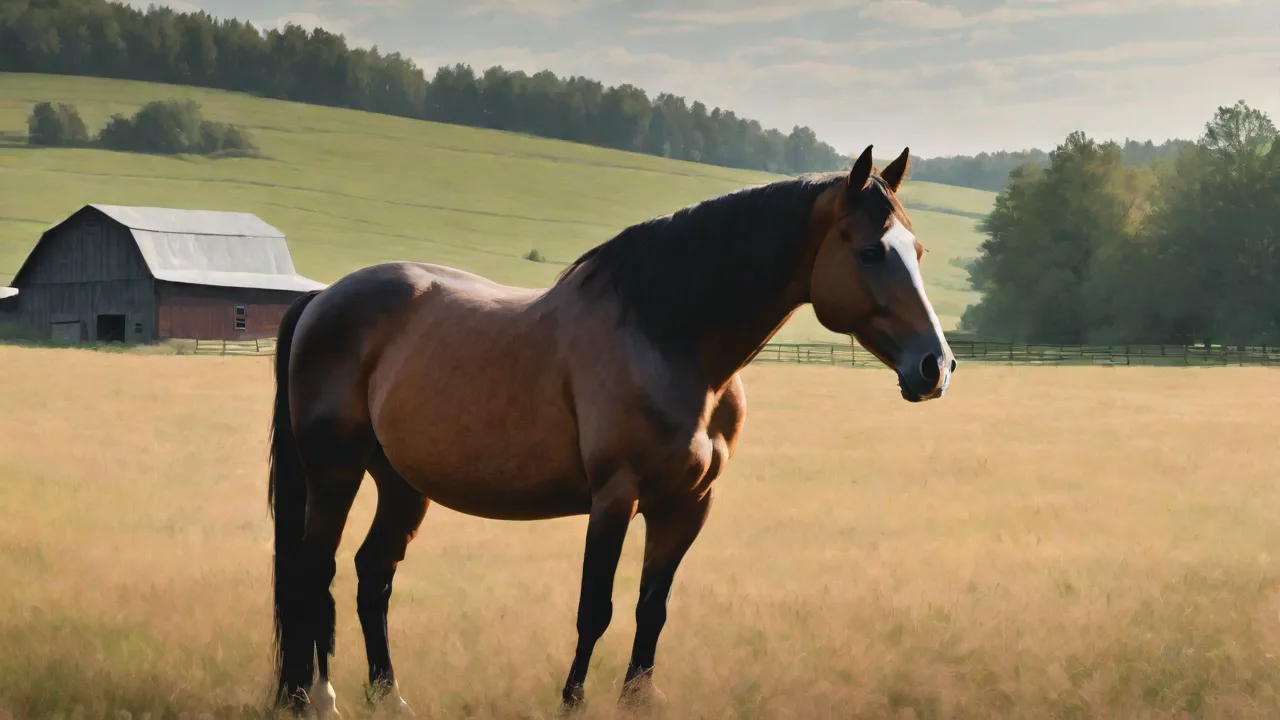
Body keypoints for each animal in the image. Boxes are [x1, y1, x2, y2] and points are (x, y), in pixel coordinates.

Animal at [265, 144, 956, 718]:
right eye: (870, 250)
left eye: (918, 253)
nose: (936, 366)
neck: (669, 342)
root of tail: (323, 299)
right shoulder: (614, 497)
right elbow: (595, 607)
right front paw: (572, 701)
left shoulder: (687, 505)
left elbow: (653, 608)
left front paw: (637, 700)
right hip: (335, 472)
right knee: (315, 570)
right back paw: (316, 698)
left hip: (401, 483)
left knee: (372, 574)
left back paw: (389, 697)